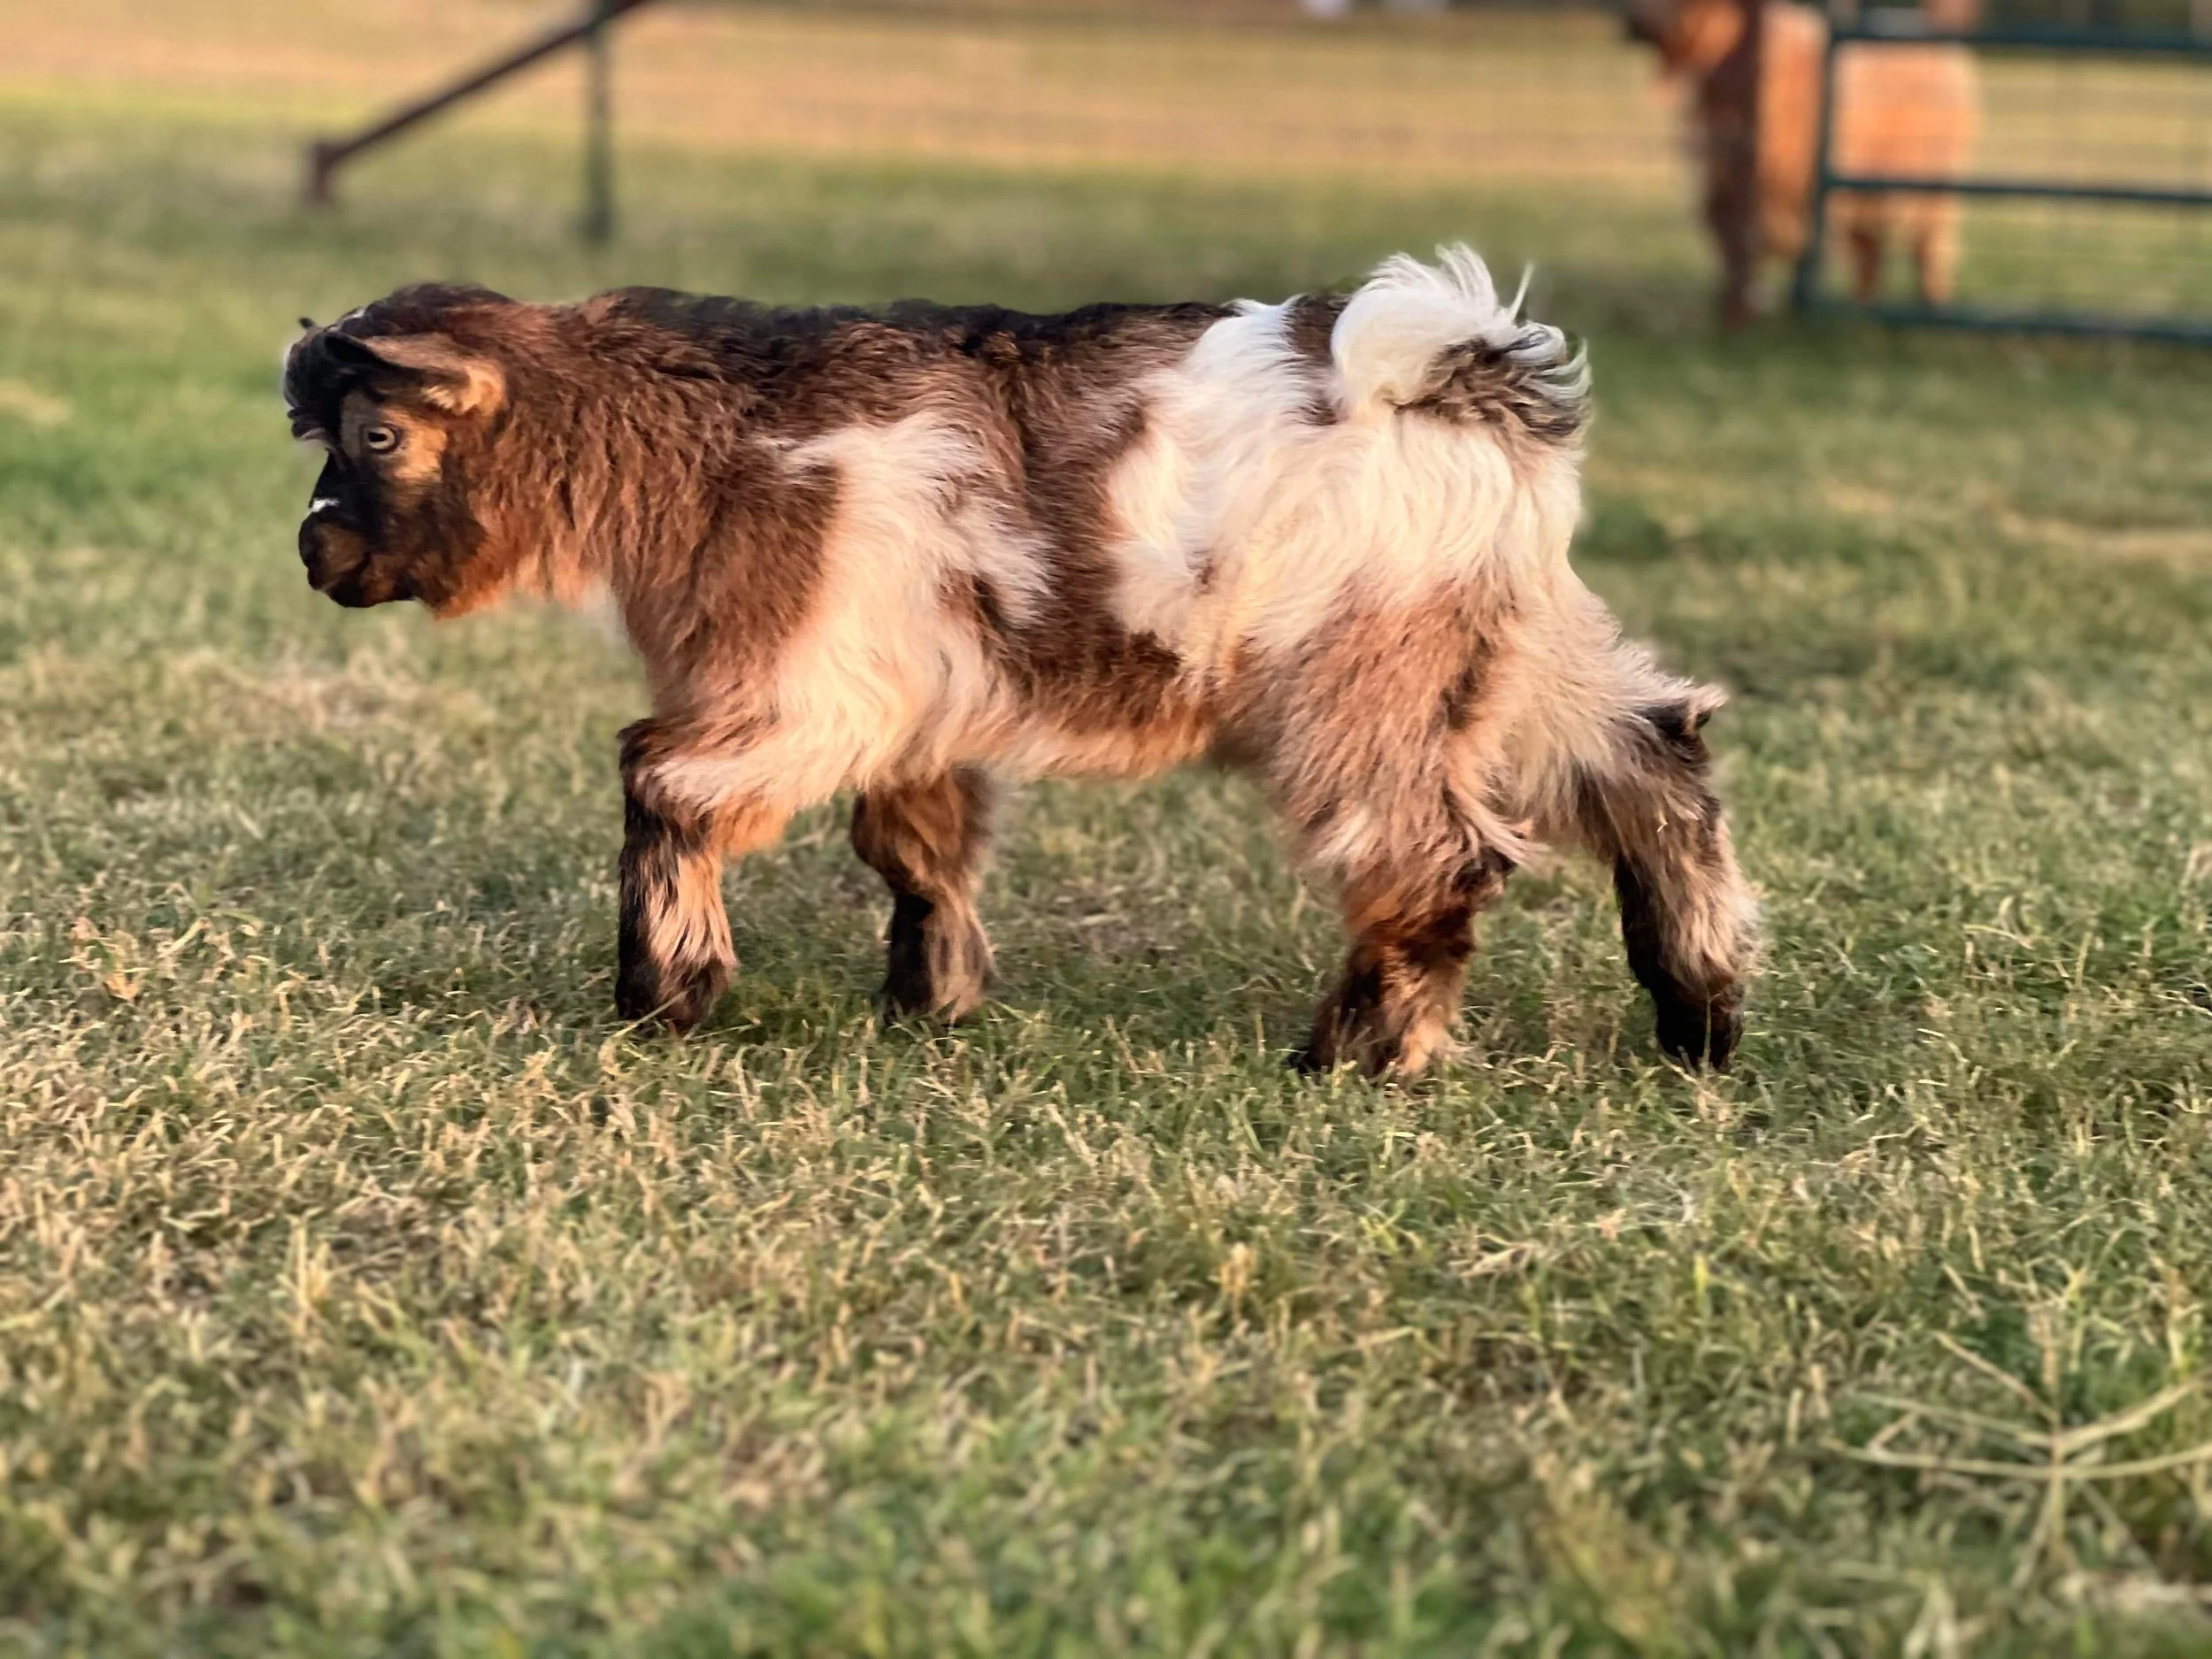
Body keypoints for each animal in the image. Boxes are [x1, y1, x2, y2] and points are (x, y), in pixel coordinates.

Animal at [282, 250, 1757, 1075]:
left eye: (375, 435)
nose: (314, 550)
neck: (711, 435)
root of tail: (1449, 375)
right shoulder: (918, 703)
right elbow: (917, 841)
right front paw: (930, 999)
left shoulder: (804, 687)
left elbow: (661, 780)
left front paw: (666, 994)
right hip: (1510, 650)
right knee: (1655, 755)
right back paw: (1700, 1016)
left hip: (1367, 679)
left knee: (1434, 854)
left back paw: (1356, 1058)